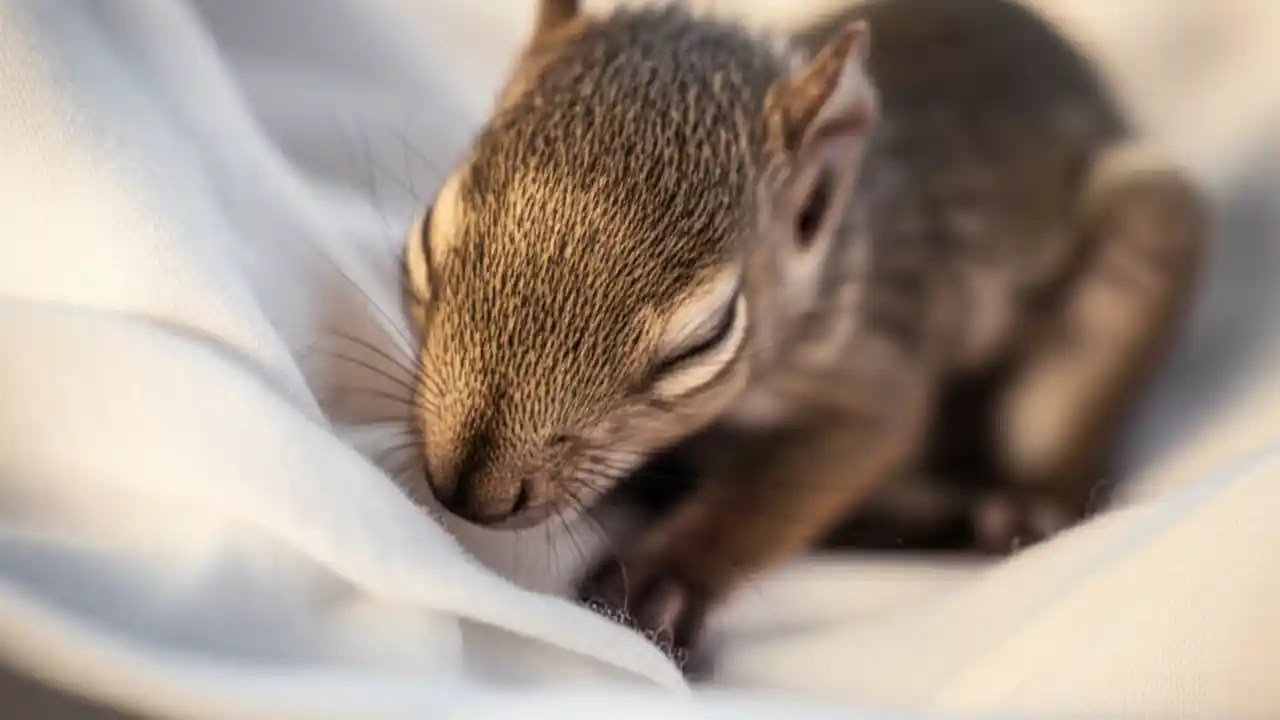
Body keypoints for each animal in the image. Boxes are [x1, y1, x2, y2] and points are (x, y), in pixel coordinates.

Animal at [402, 0, 1208, 662]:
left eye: (704, 339)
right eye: (428, 236)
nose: (471, 492)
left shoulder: (869, 361)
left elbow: (803, 474)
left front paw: (662, 579)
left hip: (1137, 253)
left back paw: (1020, 507)